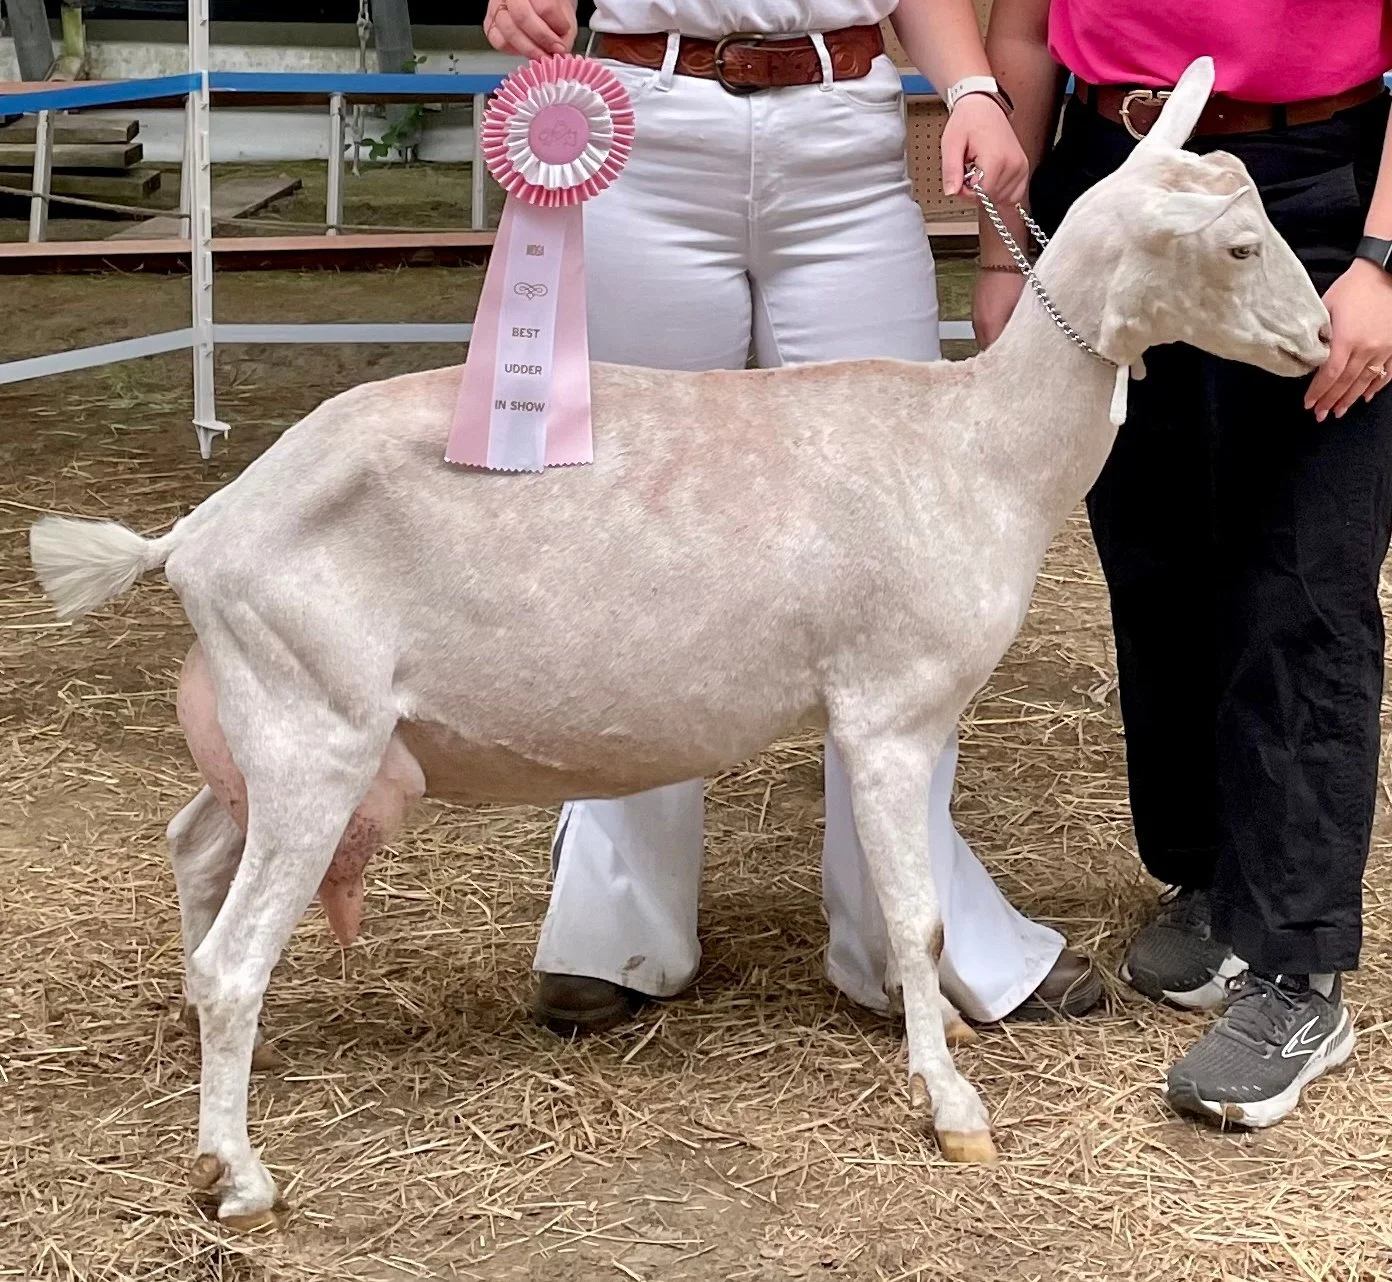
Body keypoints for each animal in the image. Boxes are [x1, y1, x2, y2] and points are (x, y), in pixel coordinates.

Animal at [27, 58, 1329, 1228]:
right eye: (1236, 247)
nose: (1322, 341)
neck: (978, 446)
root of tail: (196, 535)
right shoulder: (891, 707)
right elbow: (919, 918)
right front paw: (953, 1107)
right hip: (316, 734)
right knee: (233, 953)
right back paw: (238, 1178)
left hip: (259, 727)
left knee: (193, 852)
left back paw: (210, 1077)